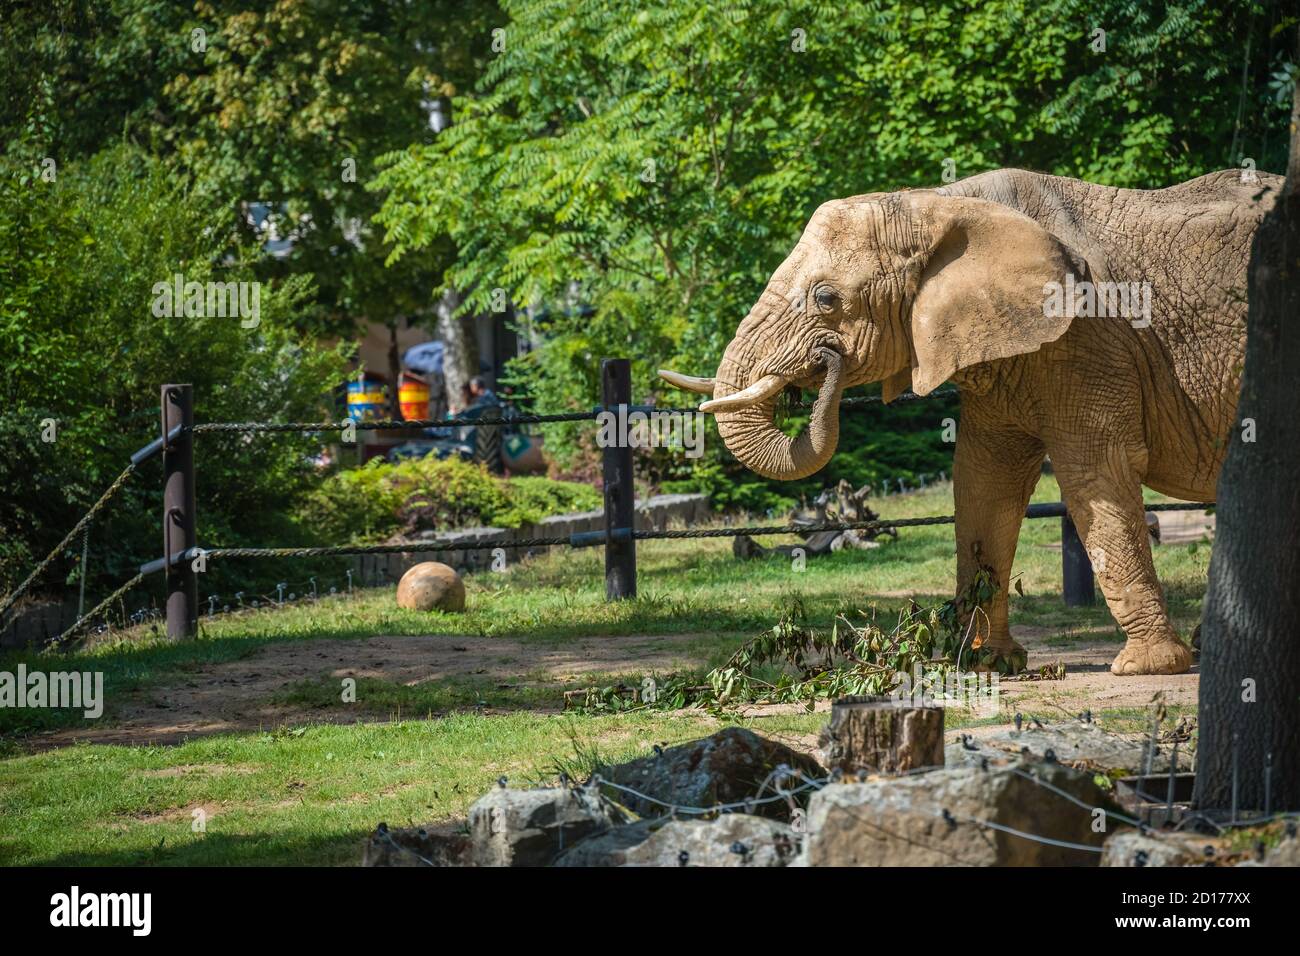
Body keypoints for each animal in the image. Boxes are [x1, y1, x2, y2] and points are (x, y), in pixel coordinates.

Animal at [660, 167, 1282, 676]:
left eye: (827, 298)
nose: (826, 358)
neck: (938, 203)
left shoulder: (1088, 338)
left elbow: (1094, 474)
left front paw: (1145, 667)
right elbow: (985, 482)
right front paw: (986, 665)